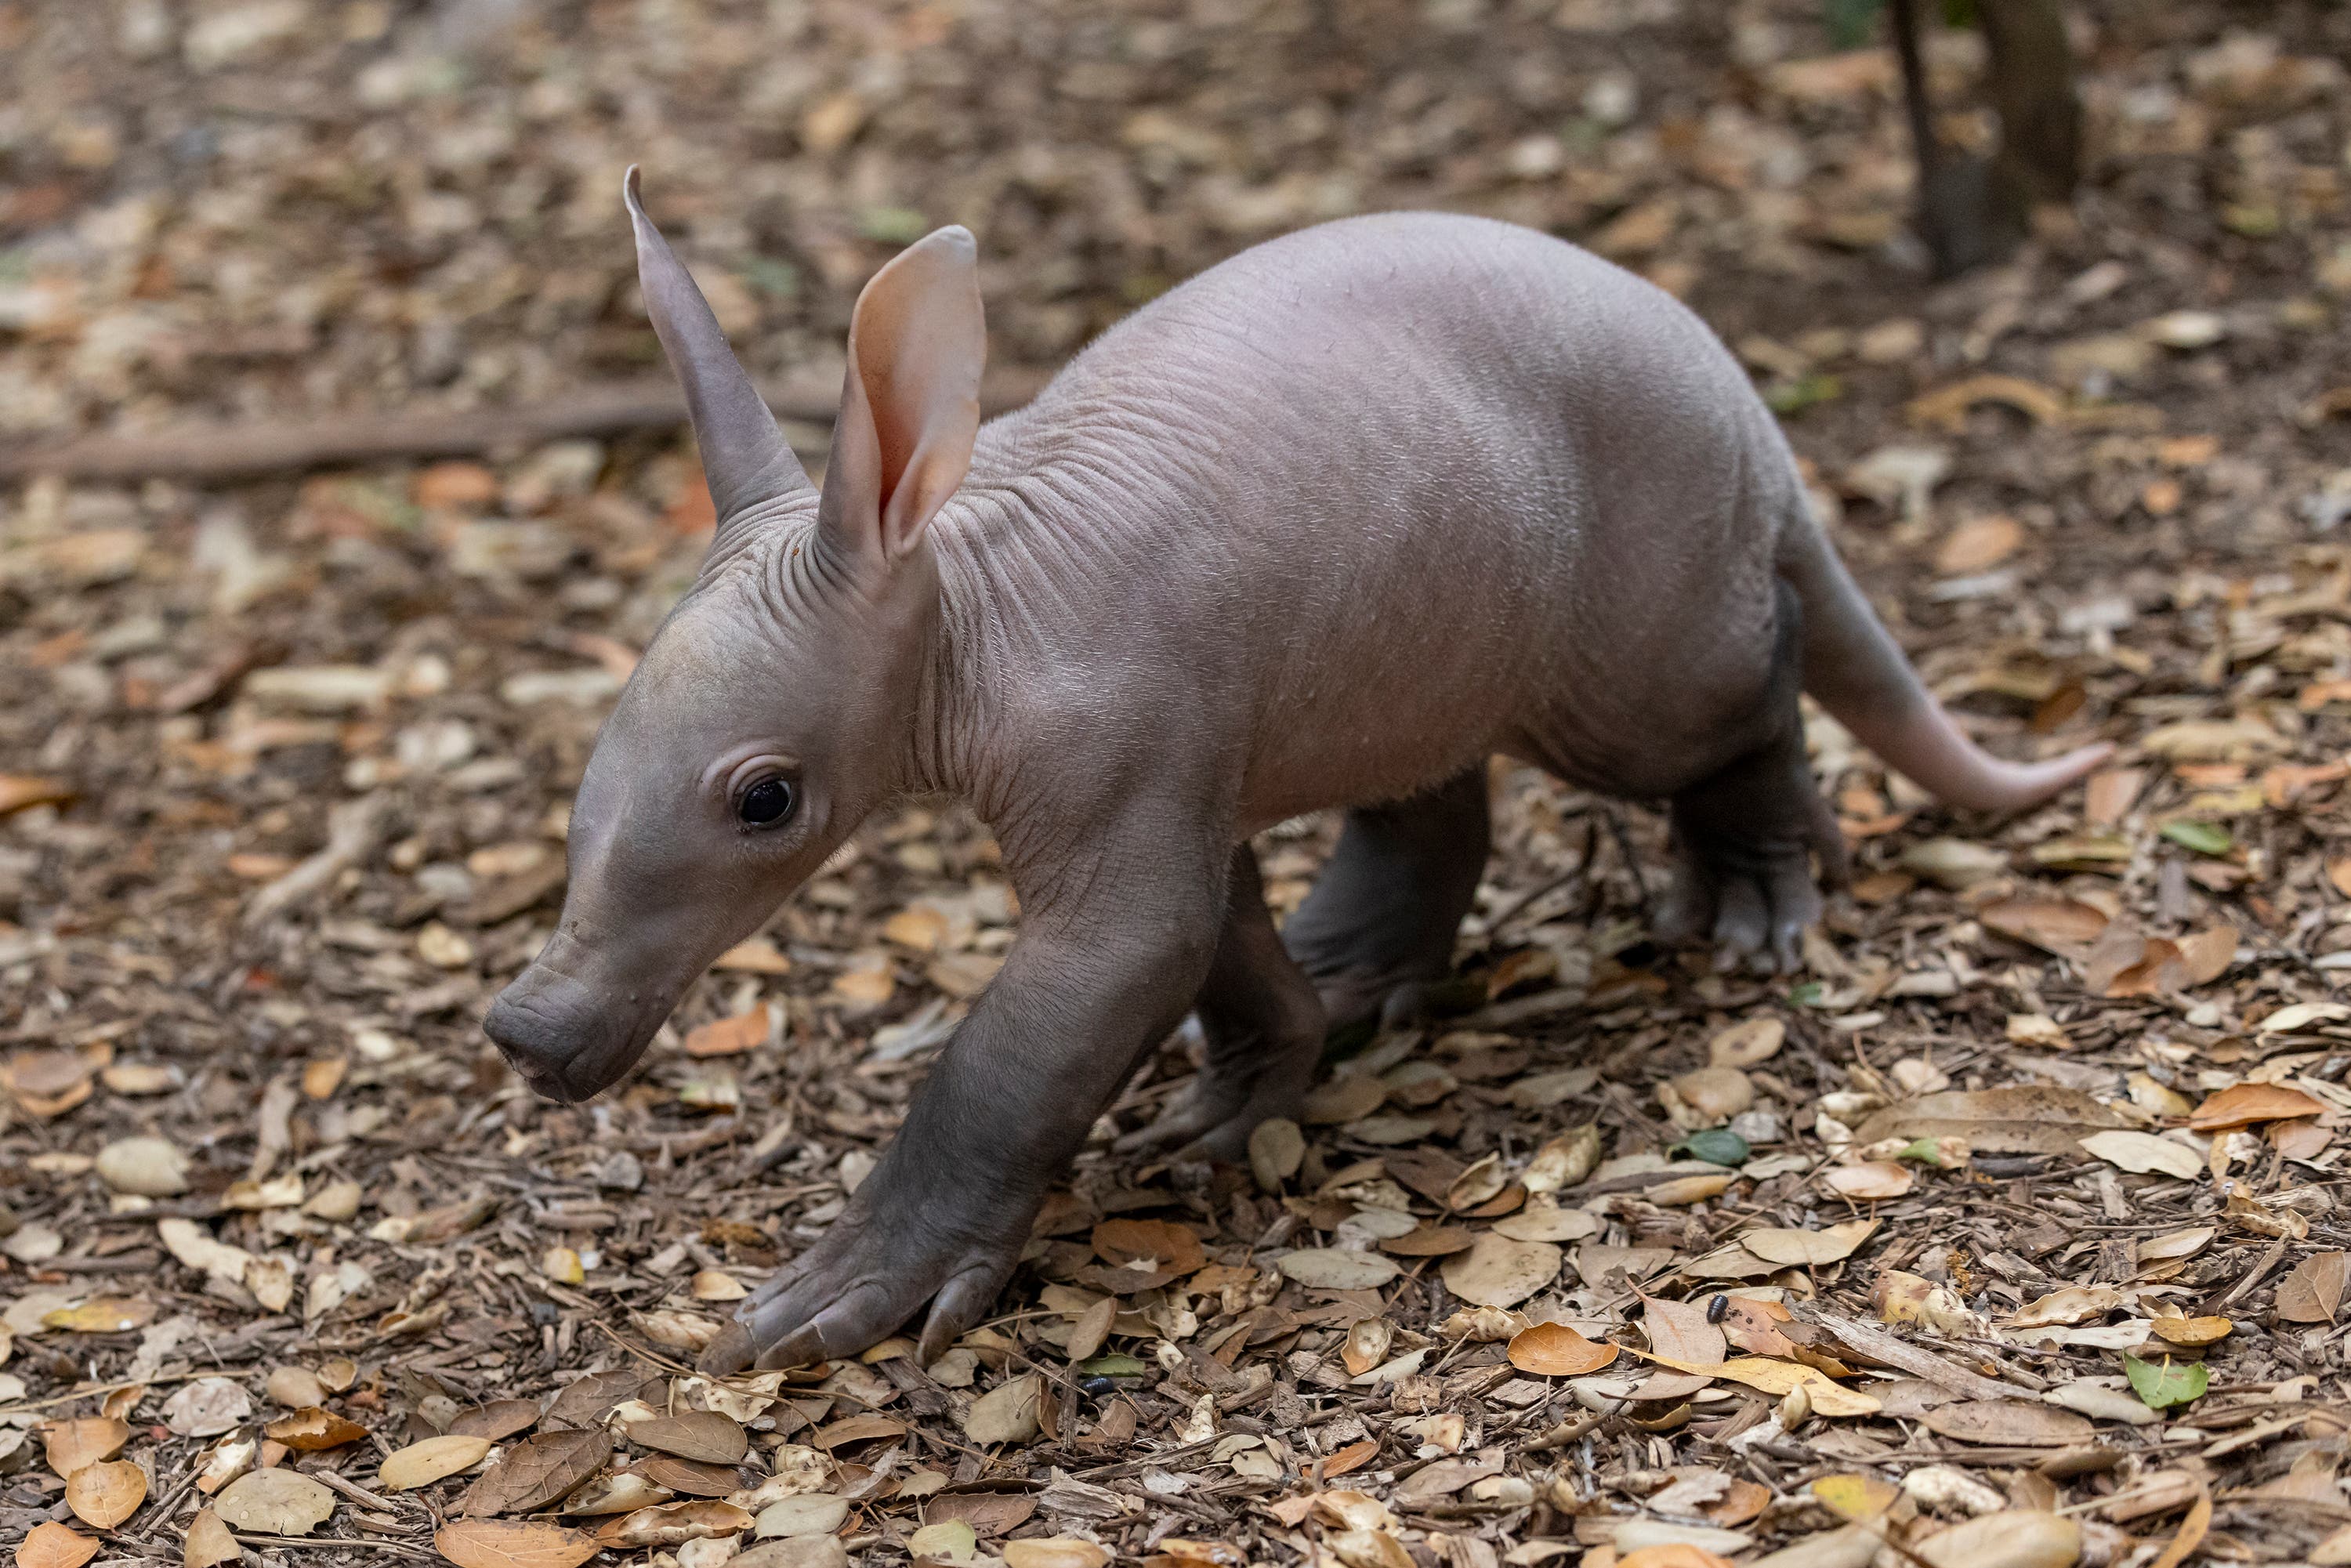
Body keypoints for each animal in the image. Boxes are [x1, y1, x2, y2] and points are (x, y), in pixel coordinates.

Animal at [484, 169, 2108, 1374]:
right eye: (590, 772)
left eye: (764, 800)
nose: (532, 1033)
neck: (976, 595)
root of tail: (1752, 417)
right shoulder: (1185, 762)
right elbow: (1214, 933)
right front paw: (1252, 1083)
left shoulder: (1124, 743)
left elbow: (1083, 989)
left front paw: (847, 1288)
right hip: (1409, 632)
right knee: (1428, 788)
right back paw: (1364, 968)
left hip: (1631, 628)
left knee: (1738, 689)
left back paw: (1757, 894)